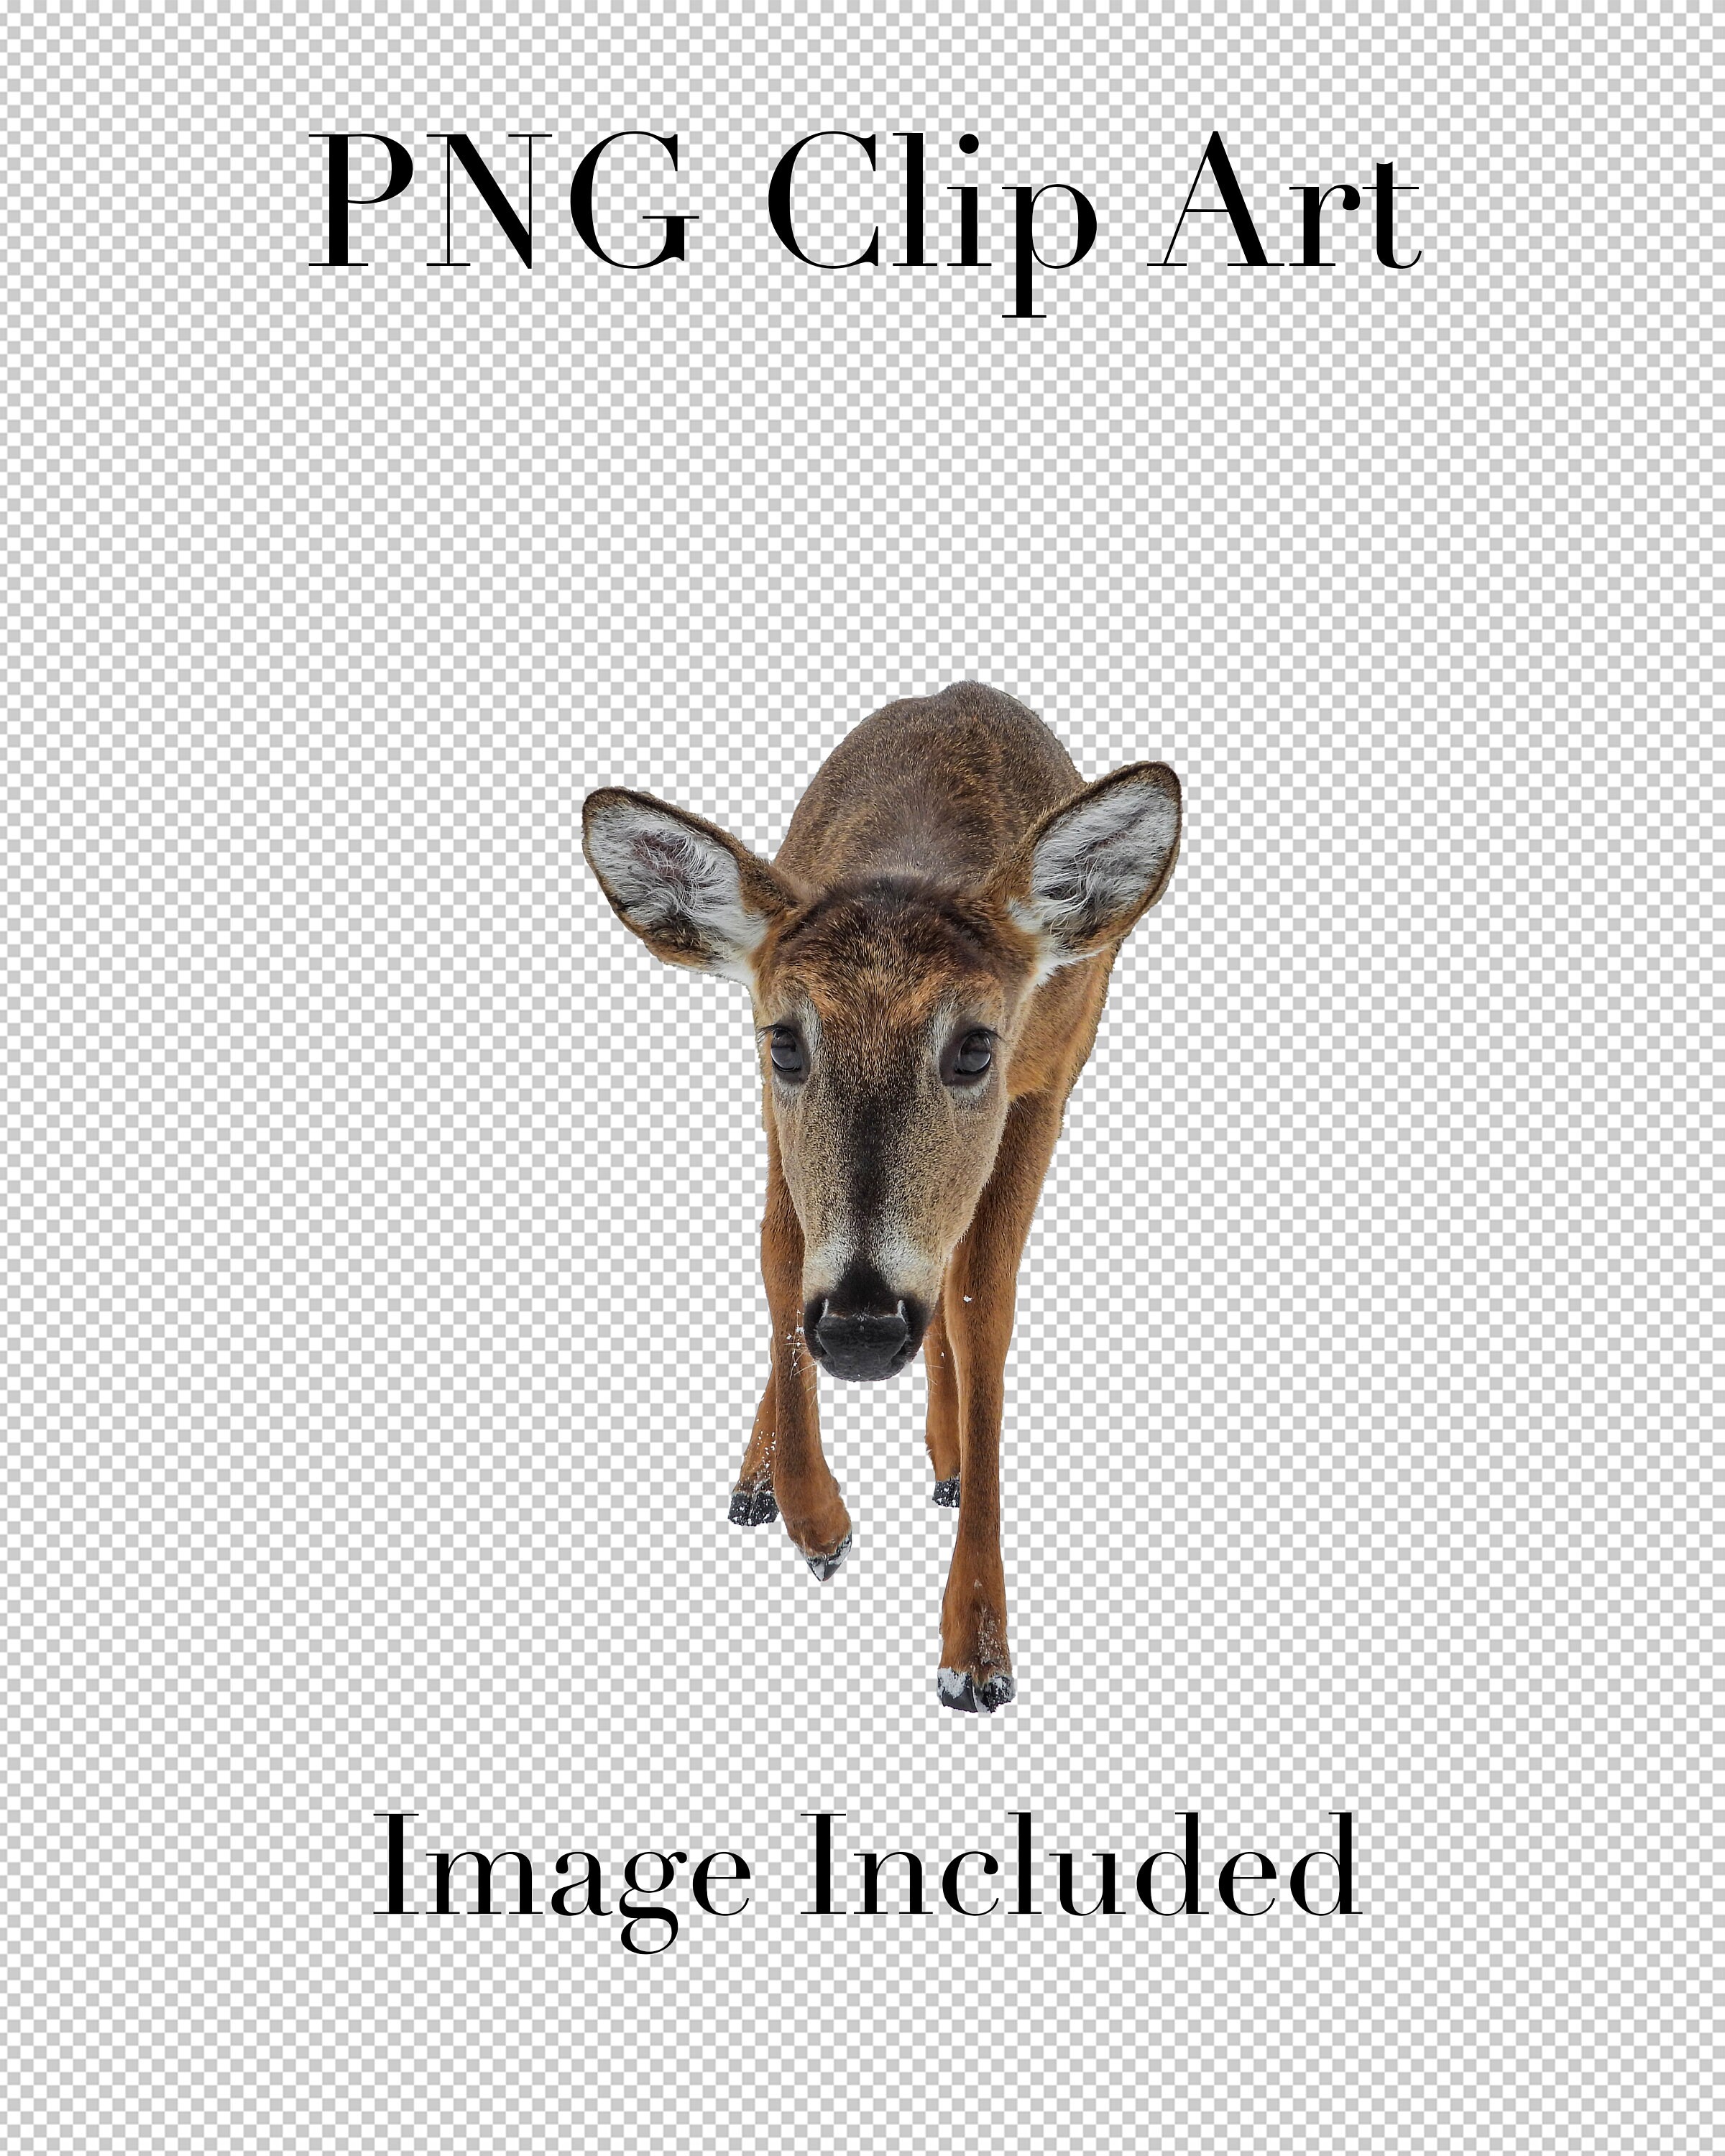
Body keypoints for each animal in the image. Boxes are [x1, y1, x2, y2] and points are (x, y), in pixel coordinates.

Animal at [582, 682, 1181, 1712]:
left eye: (976, 1045)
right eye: (787, 1040)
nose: (863, 1328)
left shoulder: (1044, 1085)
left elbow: (984, 1302)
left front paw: (977, 1650)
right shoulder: (768, 1089)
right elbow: (778, 1252)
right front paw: (815, 1517)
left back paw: (945, 1455)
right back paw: (770, 1480)